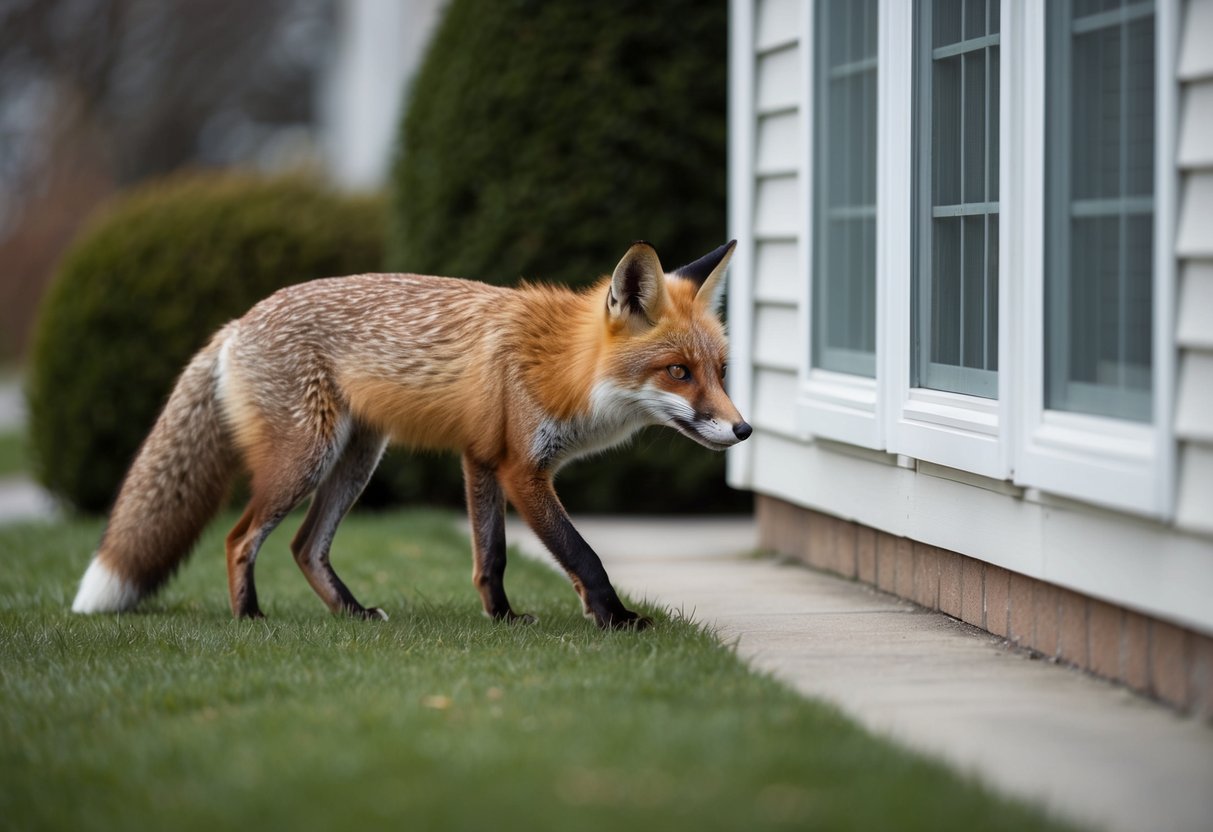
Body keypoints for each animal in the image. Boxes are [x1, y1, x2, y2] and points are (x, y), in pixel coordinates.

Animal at [69, 240, 751, 629]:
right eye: (678, 372)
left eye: (719, 371)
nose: (744, 429)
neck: (564, 366)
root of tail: (236, 323)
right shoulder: (521, 469)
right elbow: (582, 553)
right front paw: (617, 618)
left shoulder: (482, 458)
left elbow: (491, 557)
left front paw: (502, 620)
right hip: (305, 459)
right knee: (240, 539)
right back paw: (250, 619)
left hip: (356, 459)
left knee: (304, 547)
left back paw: (352, 614)